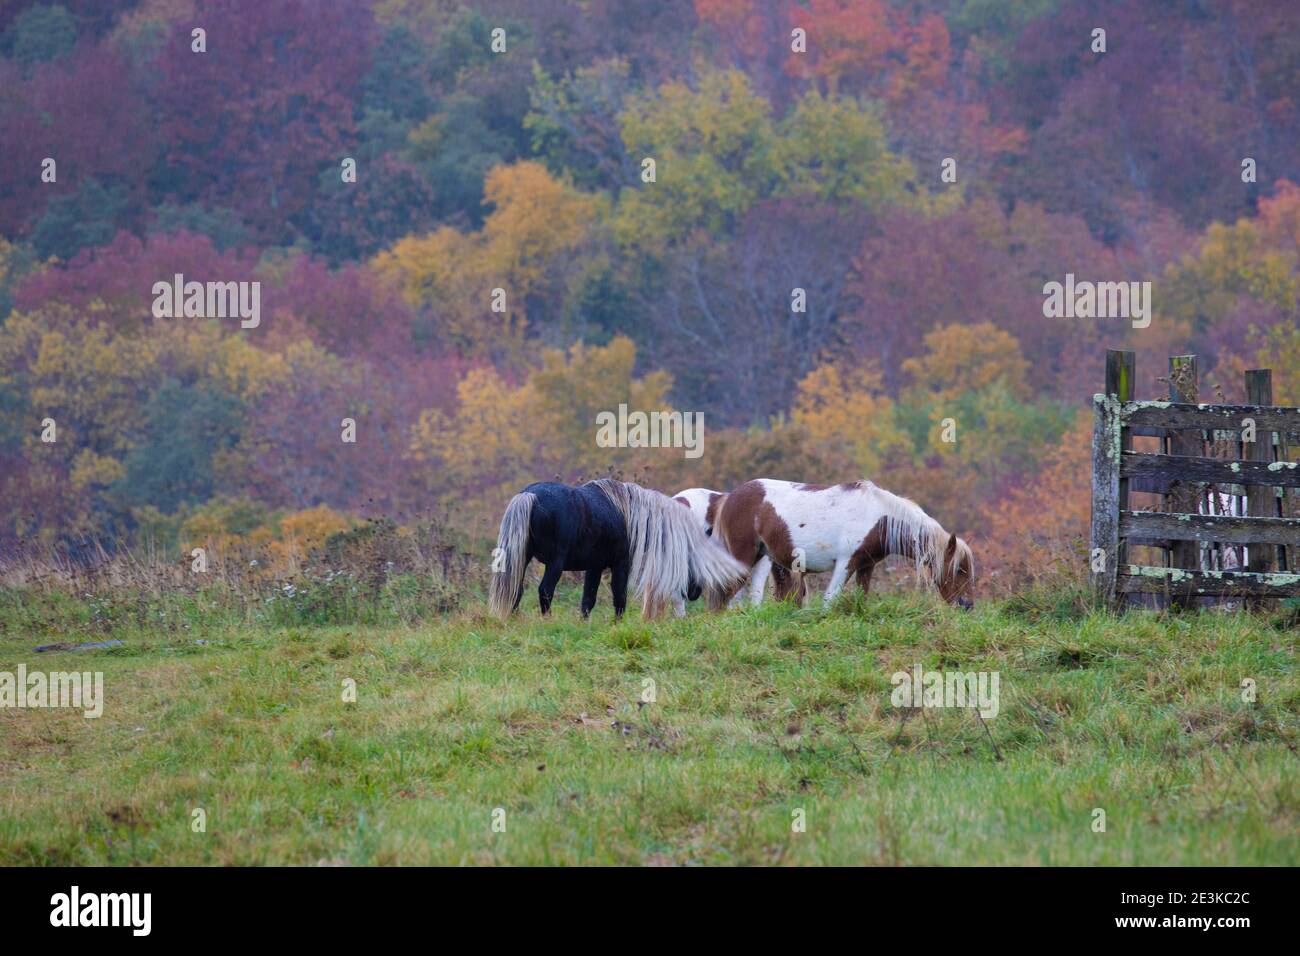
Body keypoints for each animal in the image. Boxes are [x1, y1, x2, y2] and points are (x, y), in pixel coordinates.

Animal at [490, 479, 748, 621]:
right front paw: (618, 623)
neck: (630, 514)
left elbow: (588, 599)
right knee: (544, 590)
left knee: (516, 589)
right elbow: (619, 595)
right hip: (555, 563)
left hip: (522, 558)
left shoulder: (595, 567)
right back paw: (547, 620)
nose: (694, 593)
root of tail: (530, 496)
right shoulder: (621, 564)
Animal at [709, 479, 974, 609]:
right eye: (960, 570)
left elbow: (861, 596)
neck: (879, 516)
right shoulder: (846, 563)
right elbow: (830, 599)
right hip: (744, 559)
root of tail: (730, 498)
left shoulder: (866, 566)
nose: (967, 605)